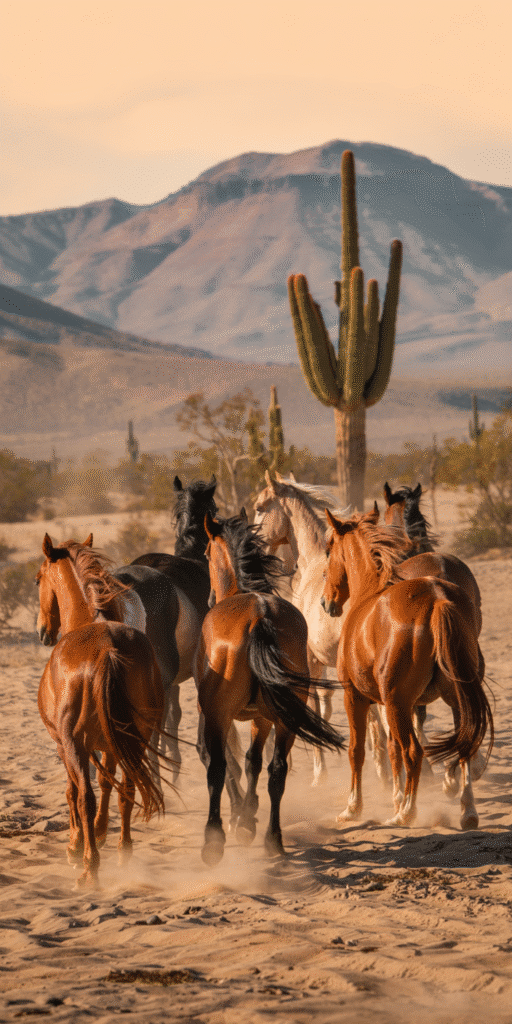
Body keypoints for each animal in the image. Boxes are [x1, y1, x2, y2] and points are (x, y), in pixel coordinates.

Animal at [36, 534, 165, 887]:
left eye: (37, 579)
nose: (43, 631)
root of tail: (108, 650)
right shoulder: (110, 743)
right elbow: (109, 783)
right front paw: (101, 831)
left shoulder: (63, 743)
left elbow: (74, 791)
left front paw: (76, 842)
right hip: (135, 739)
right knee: (128, 789)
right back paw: (123, 851)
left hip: (75, 744)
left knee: (85, 797)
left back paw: (88, 868)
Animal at [195, 510, 345, 865]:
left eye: (206, 553)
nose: (209, 597)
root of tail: (258, 616)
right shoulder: (263, 718)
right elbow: (253, 762)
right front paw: (248, 820)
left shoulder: (220, 717)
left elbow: (230, 764)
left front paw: (240, 821)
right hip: (284, 718)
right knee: (277, 771)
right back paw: (272, 839)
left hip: (219, 715)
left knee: (218, 768)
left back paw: (214, 842)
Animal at [321, 506, 493, 831]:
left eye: (328, 550)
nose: (326, 602)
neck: (369, 594)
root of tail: (437, 598)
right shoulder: (389, 704)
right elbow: (391, 750)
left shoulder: (356, 698)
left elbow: (357, 750)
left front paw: (353, 808)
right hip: (455, 700)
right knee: (464, 746)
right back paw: (467, 811)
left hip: (397, 704)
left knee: (414, 751)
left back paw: (406, 813)